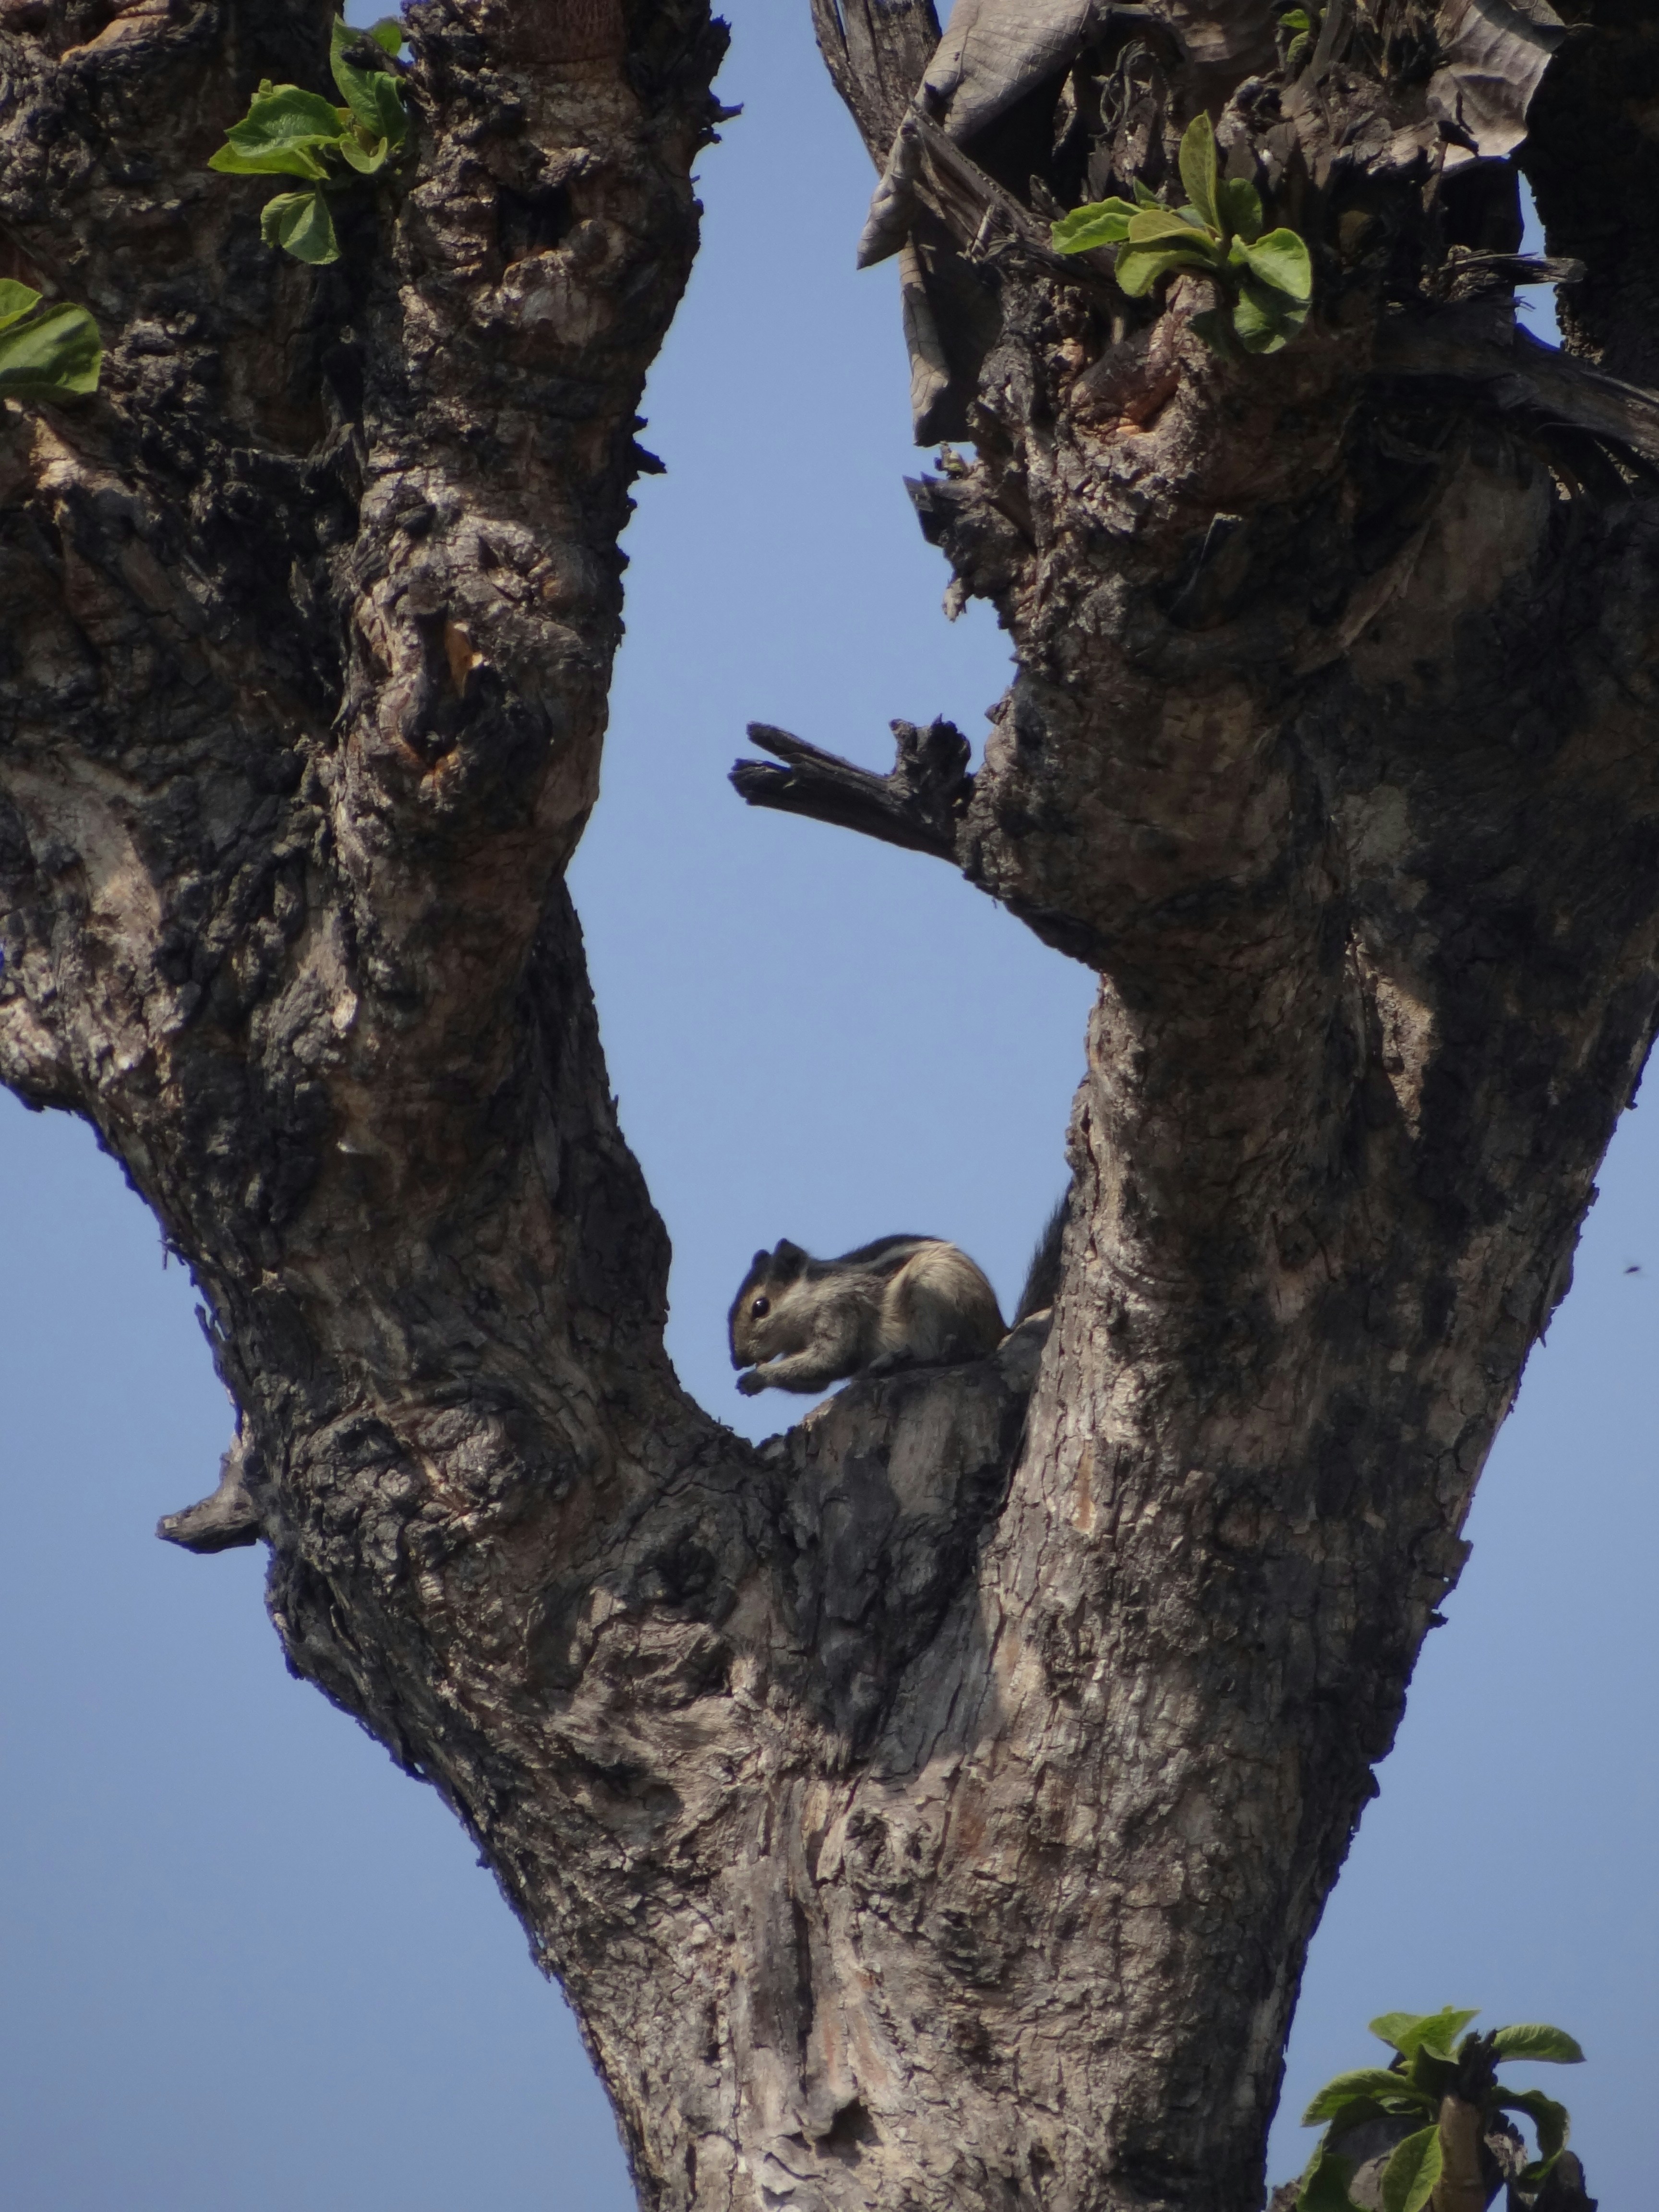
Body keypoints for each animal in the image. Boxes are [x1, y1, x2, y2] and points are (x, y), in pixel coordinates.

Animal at [728, 1195, 1067, 1397]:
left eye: (760, 1307)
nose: (736, 1362)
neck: (815, 1294)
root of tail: (1002, 1327)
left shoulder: (841, 1310)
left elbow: (830, 1361)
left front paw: (756, 1378)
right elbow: (817, 1381)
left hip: (933, 1290)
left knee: (960, 1353)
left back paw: (894, 1363)